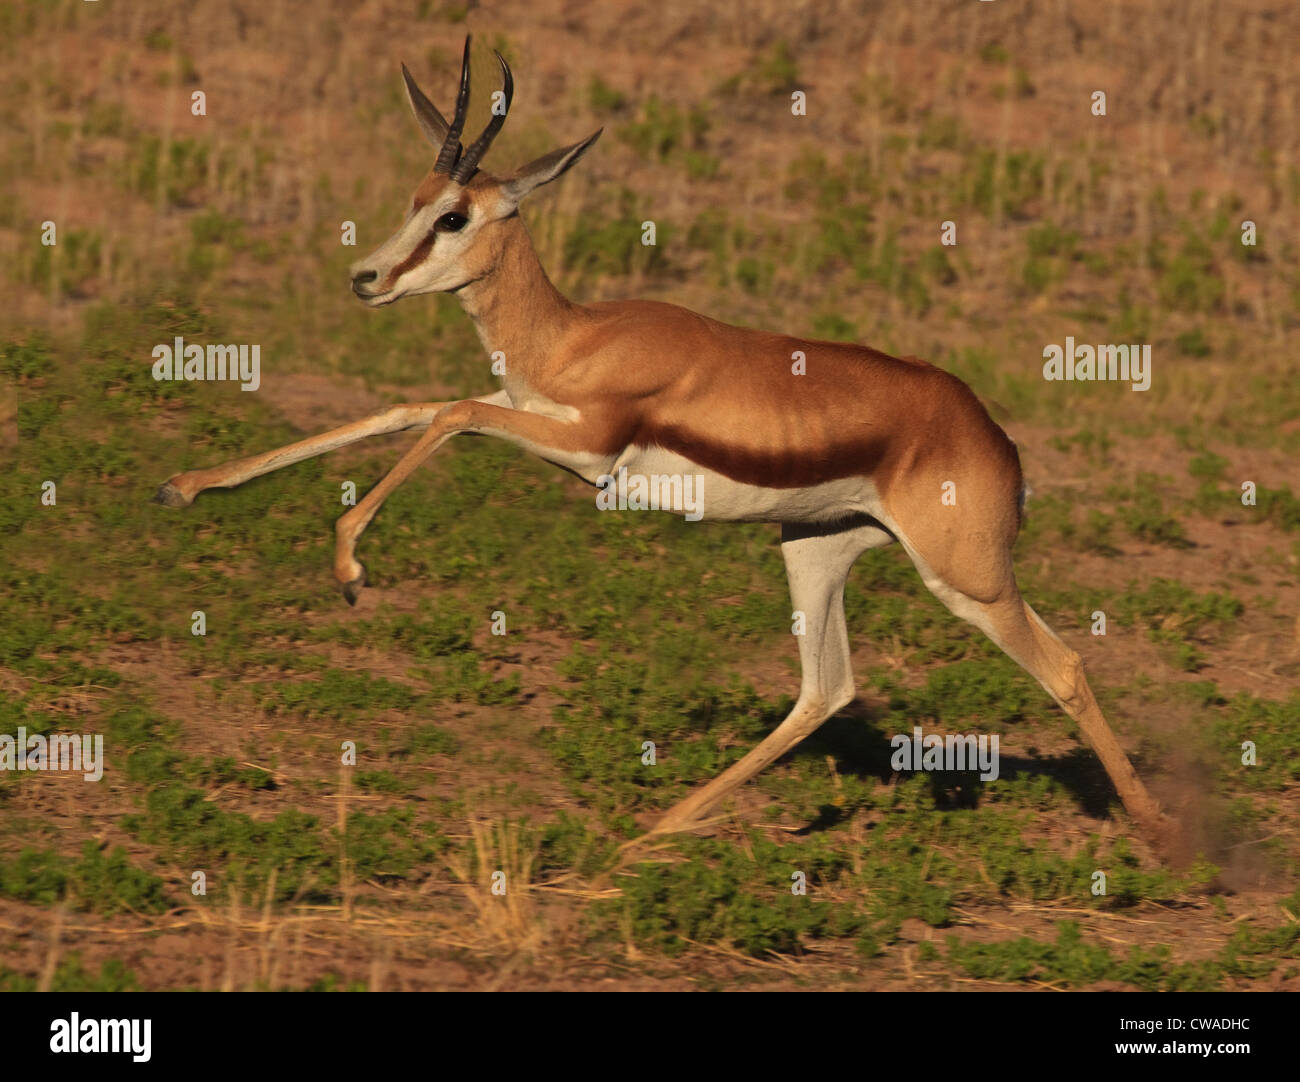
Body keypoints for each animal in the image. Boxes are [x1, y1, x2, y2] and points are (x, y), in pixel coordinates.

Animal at [155, 38, 1172, 847]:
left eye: (455, 216)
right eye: (416, 196)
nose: (366, 278)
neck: (575, 336)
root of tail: (996, 439)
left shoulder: (582, 450)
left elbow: (447, 416)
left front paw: (349, 569)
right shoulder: (524, 404)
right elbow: (407, 408)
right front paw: (186, 485)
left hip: (968, 581)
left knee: (1064, 665)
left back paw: (1165, 840)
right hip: (816, 546)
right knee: (827, 689)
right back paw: (656, 829)